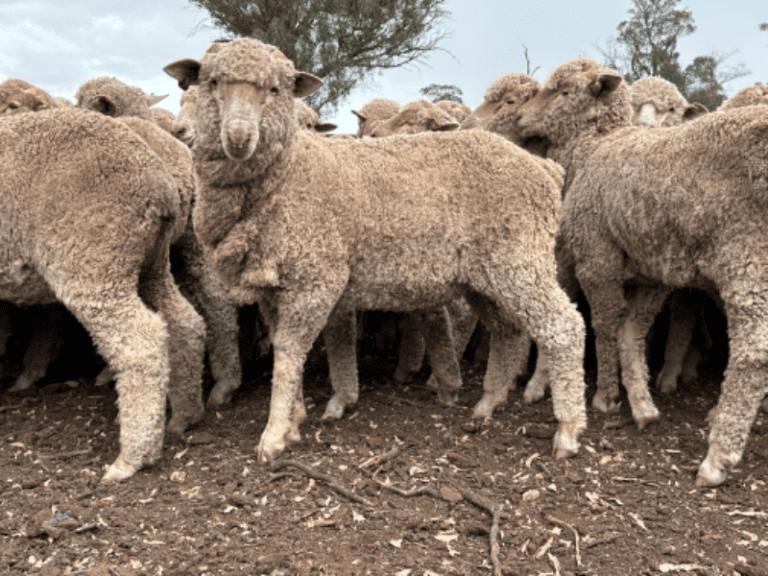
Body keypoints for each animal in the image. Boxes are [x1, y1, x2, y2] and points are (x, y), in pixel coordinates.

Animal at [0, 107, 206, 482]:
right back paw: (184, 416)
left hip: (94, 257)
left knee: (141, 342)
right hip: (150, 262)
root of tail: (161, 184)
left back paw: (133, 457)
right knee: (184, 323)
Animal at [163, 38, 588, 463]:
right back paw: (488, 403)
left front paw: (275, 434)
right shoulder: (271, 287)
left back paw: (567, 429)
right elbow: (287, 350)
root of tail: (545, 168)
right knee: (508, 328)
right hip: (487, 275)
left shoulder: (316, 280)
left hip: (519, 258)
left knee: (564, 326)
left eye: (275, 89)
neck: (288, 175)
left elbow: (288, 352)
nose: (238, 138)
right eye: (211, 82)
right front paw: (295, 419)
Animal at [515, 56, 768, 487]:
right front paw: (641, 403)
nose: (520, 117)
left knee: (754, 354)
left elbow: (603, 325)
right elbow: (631, 330)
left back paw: (718, 455)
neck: (593, 147)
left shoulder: (596, 256)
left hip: (746, 254)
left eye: (562, 92)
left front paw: (605, 396)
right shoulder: (653, 273)